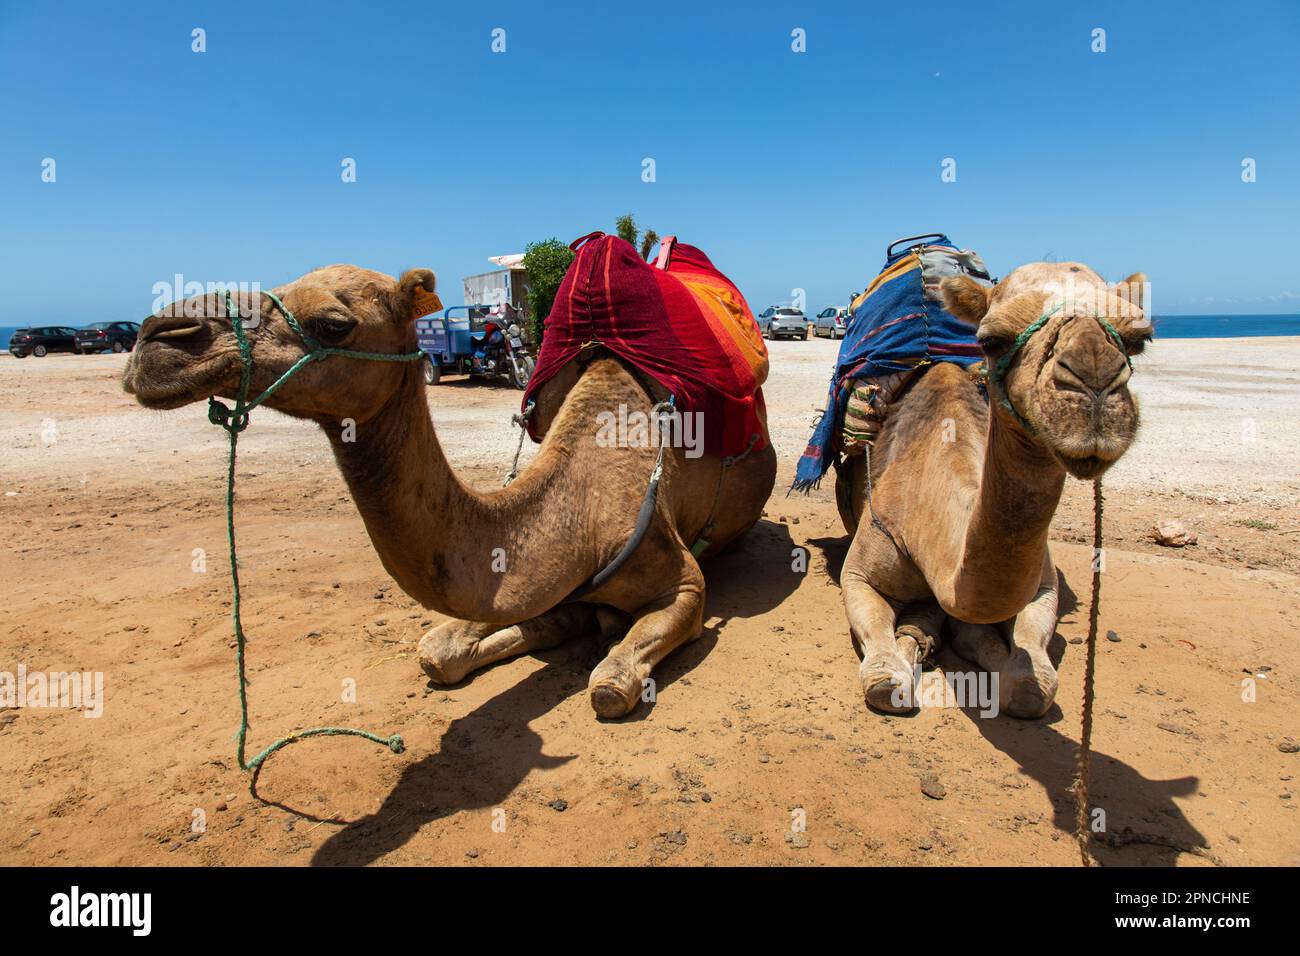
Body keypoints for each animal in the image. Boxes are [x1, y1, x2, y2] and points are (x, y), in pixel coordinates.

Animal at [123, 265, 776, 718]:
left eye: (332, 323)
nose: (158, 339)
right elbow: (439, 651)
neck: (578, 509)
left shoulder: (685, 585)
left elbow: (609, 687)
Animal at [838, 262, 1152, 718]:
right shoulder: (861, 568)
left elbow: (1029, 683)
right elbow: (883, 676)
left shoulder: (1043, 585)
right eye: (991, 340)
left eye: (1139, 339)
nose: (1093, 380)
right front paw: (904, 663)